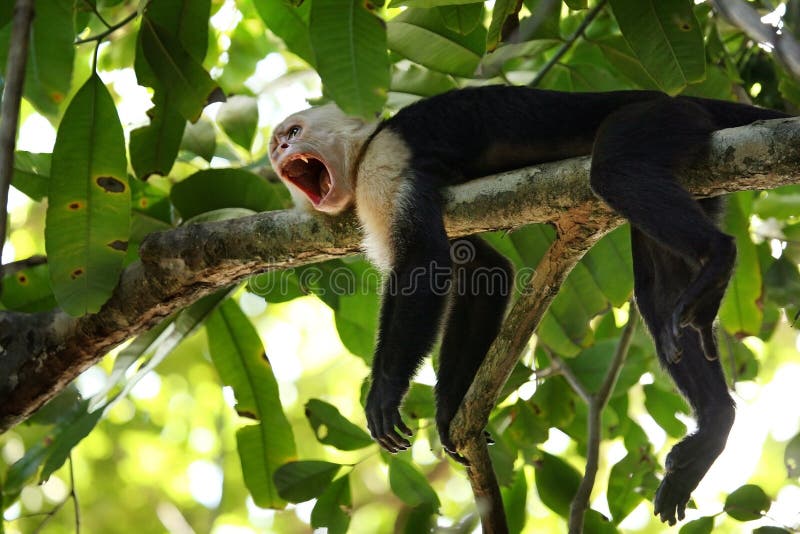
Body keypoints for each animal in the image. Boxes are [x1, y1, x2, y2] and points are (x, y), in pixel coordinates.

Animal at [268, 85, 791, 525]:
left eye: (293, 134)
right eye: (277, 144)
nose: (277, 153)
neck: (362, 153)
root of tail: (678, 97)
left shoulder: (385, 163)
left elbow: (423, 264)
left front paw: (385, 392)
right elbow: (484, 272)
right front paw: (451, 413)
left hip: (662, 119)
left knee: (616, 169)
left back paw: (717, 256)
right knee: (661, 301)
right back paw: (715, 422)